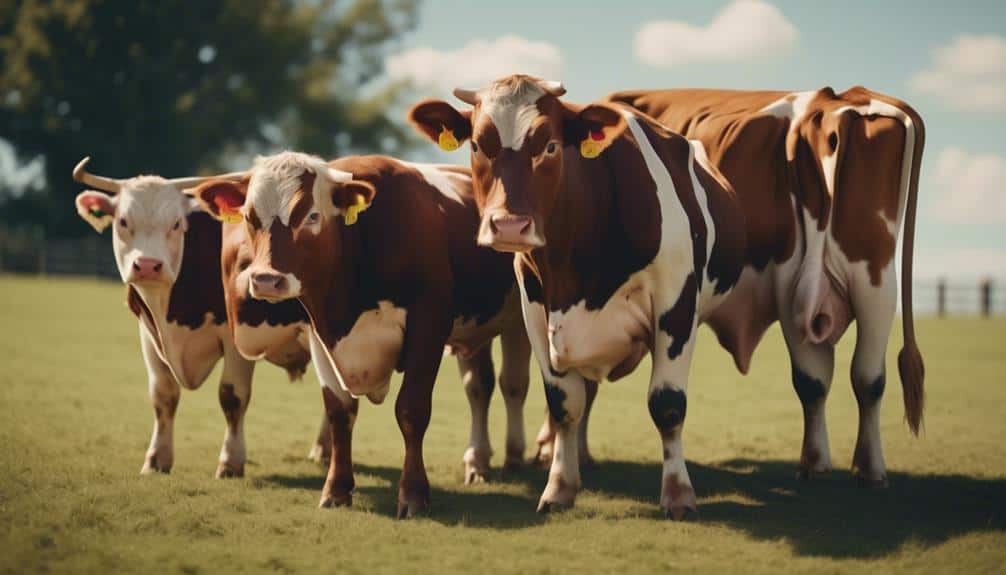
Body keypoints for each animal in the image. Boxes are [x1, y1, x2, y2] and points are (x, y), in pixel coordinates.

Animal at [72, 157, 315, 478]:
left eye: (176, 223)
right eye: (123, 221)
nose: (147, 265)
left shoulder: (235, 339)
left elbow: (232, 396)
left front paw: (230, 462)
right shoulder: (148, 333)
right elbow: (163, 396)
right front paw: (157, 459)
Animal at [185, 152, 532, 517]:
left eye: (311, 215)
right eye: (251, 217)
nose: (266, 280)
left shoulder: (429, 324)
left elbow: (411, 410)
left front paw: (413, 494)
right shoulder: (321, 334)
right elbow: (340, 412)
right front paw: (336, 489)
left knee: (513, 385)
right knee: (479, 387)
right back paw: (477, 462)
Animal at [409, 75, 748, 518]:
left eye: (551, 145)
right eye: (478, 145)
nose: (509, 226)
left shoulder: (676, 303)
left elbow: (667, 405)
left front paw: (678, 495)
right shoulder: (537, 311)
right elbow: (564, 403)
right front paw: (559, 487)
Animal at [604, 87, 924, 487]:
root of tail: (846, 101)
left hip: (868, 283)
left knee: (864, 378)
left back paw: (869, 468)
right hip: (851, 290)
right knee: (839, 377)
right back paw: (830, 464)